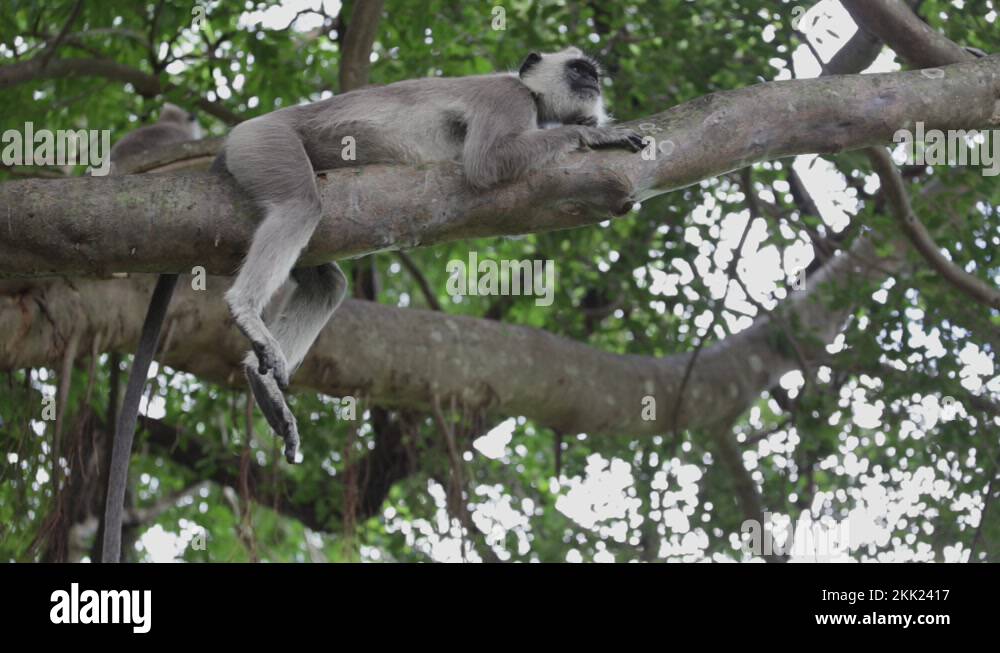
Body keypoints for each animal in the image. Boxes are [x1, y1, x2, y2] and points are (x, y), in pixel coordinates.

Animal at [214, 47, 643, 464]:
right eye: (578, 70)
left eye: (593, 73)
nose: (593, 82)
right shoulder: (507, 98)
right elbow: (486, 163)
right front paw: (595, 133)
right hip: (263, 140)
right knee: (299, 206)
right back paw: (246, 310)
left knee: (327, 284)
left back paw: (263, 380)